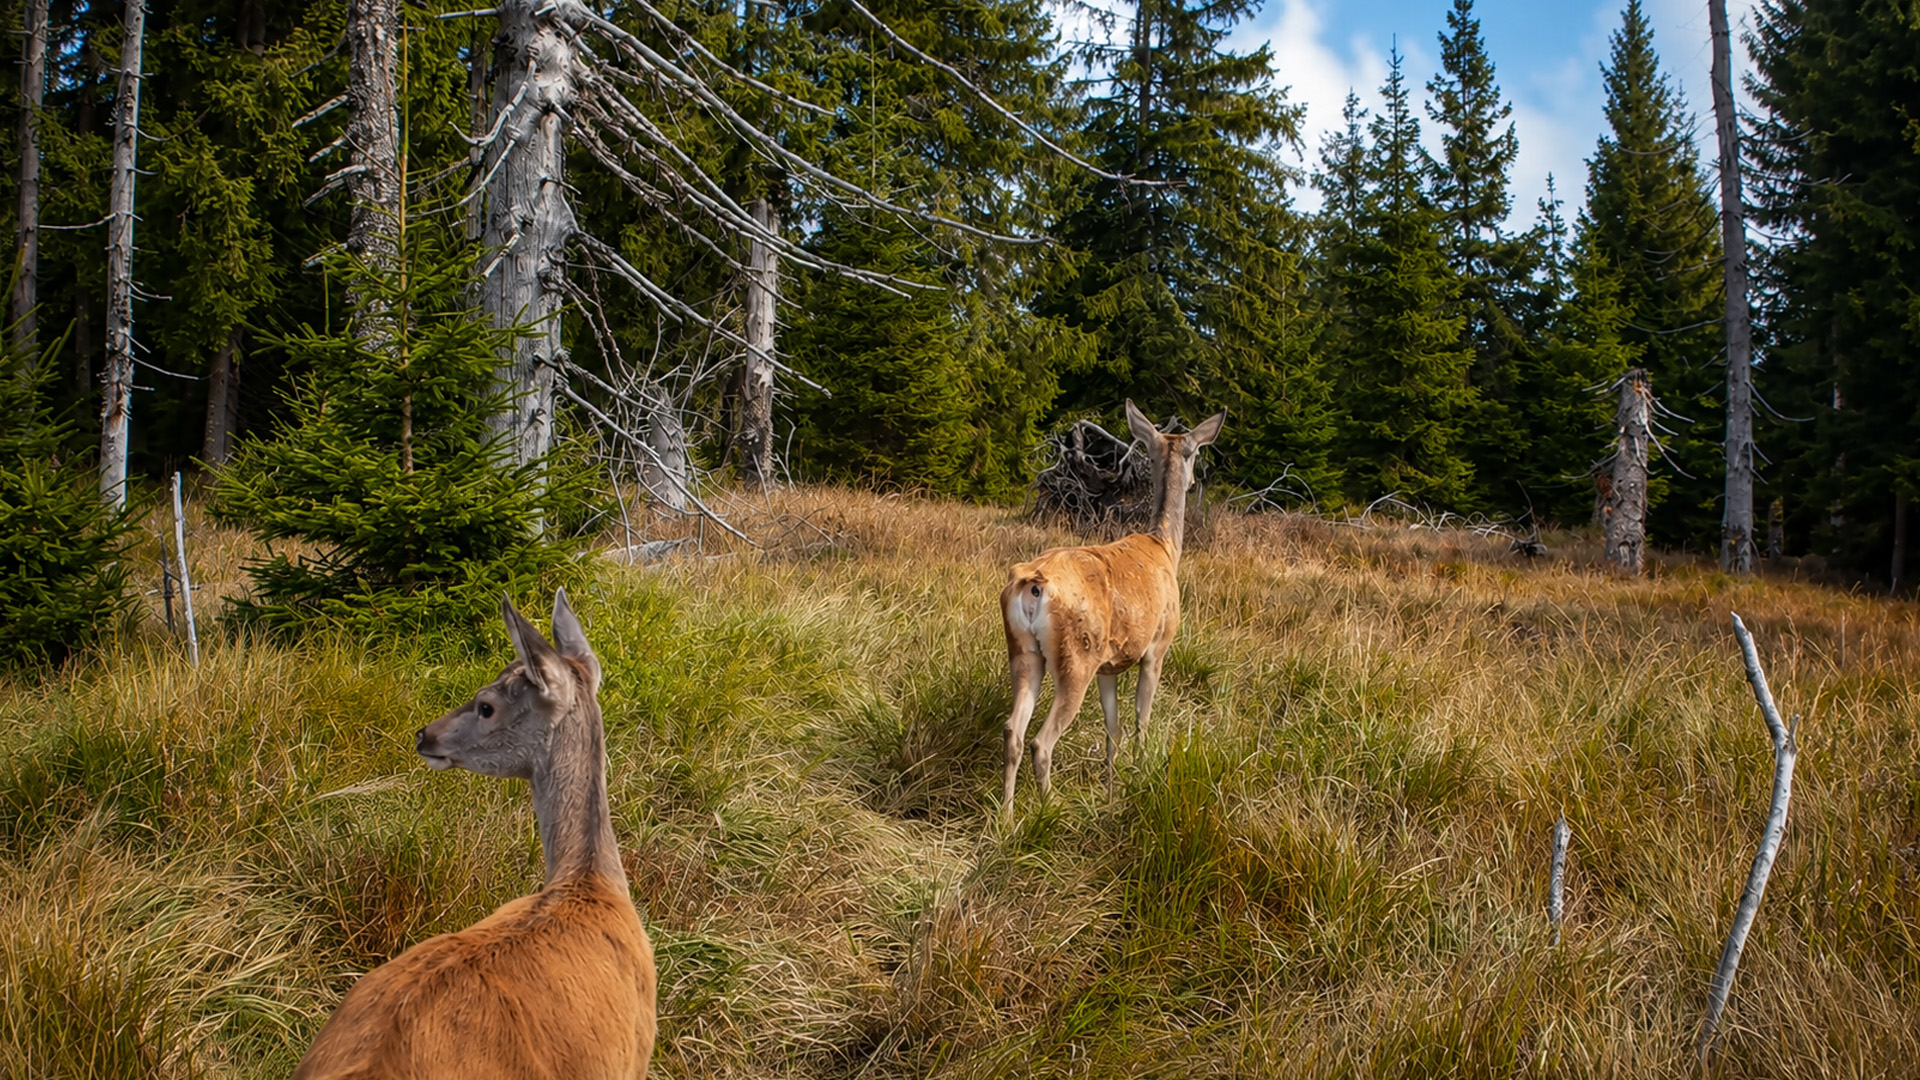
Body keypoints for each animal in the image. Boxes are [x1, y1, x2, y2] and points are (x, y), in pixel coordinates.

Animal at [1000, 400, 1224, 817]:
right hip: (1077, 657)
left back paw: (1005, 816)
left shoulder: (1110, 664)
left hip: (1023, 652)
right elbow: (1140, 720)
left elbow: (1112, 727)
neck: (1166, 548)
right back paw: (1052, 809)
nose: (1192, 482)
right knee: (1041, 742)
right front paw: (1139, 771)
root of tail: (1033, 584)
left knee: (1013, 731)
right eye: (1194, 452)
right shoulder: (1157, 647)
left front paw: (1111, 784)